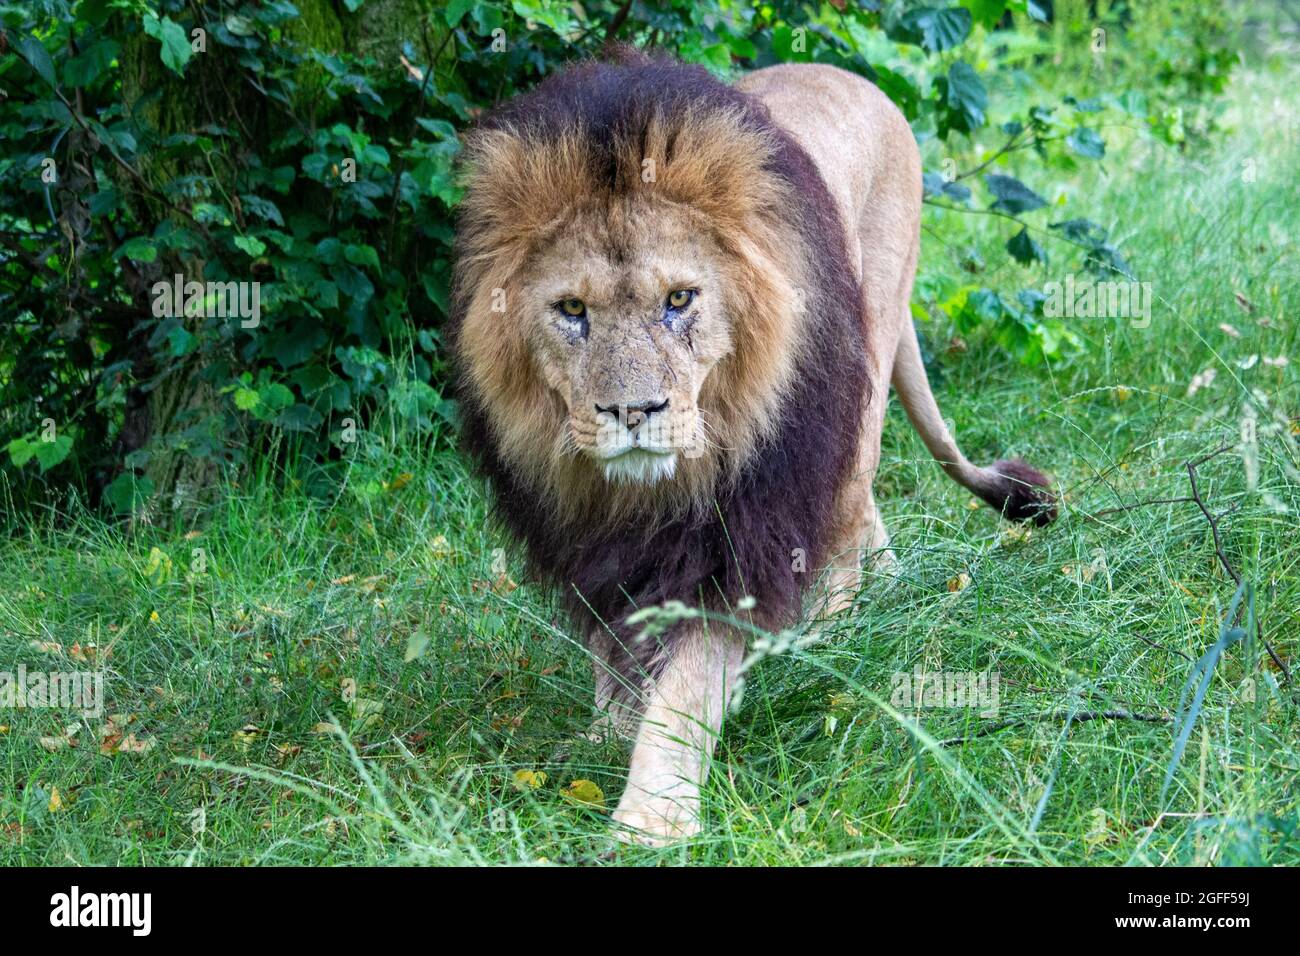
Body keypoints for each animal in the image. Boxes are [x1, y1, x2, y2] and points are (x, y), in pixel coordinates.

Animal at [450, 50, 1056, 845]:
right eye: (572, 310)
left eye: (679, 299)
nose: (632, 412)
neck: (646, 491)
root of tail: (855, 78)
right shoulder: (586, 538)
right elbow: (613, 643)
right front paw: (607, 734)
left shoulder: (736, 534)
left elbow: (687, 687)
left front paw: (651, 820)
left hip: (866, 366)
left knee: (850, 505)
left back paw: (829, 631)